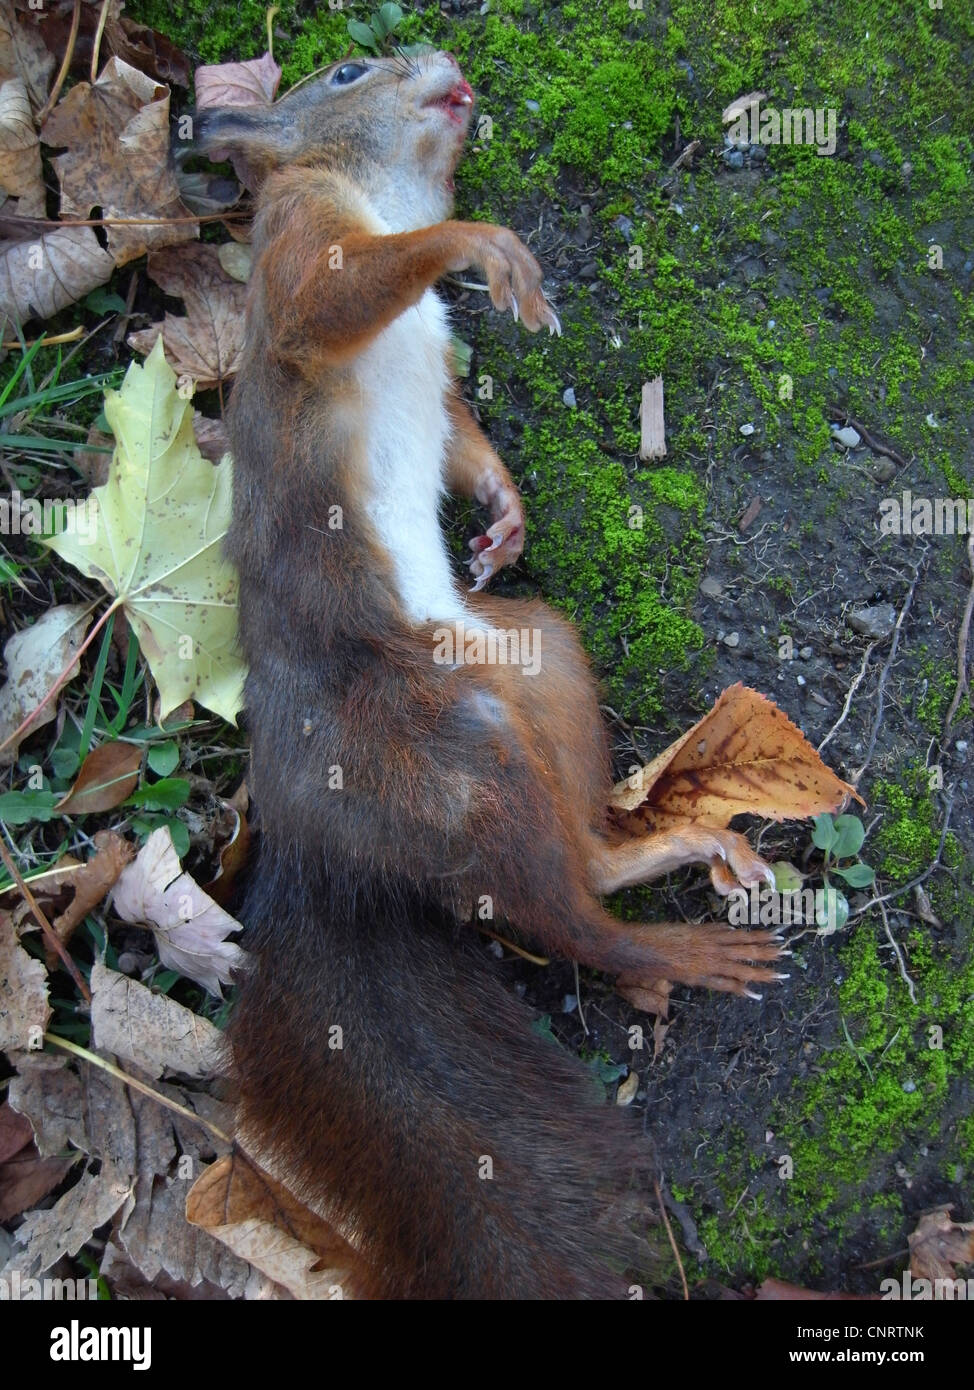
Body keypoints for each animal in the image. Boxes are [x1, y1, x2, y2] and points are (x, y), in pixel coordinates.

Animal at [195, 48, 784, 1300]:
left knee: (579, 861)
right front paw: (482, 245)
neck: (384, 198)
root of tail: (313, 846)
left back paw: (665, 850)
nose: (447, 66)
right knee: (562, 921)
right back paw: (677, 953)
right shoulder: (294, 245)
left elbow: (465, 435)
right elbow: (326, 300)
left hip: (532, 665)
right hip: (453, 757)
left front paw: (503, 514)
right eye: (347, 67)